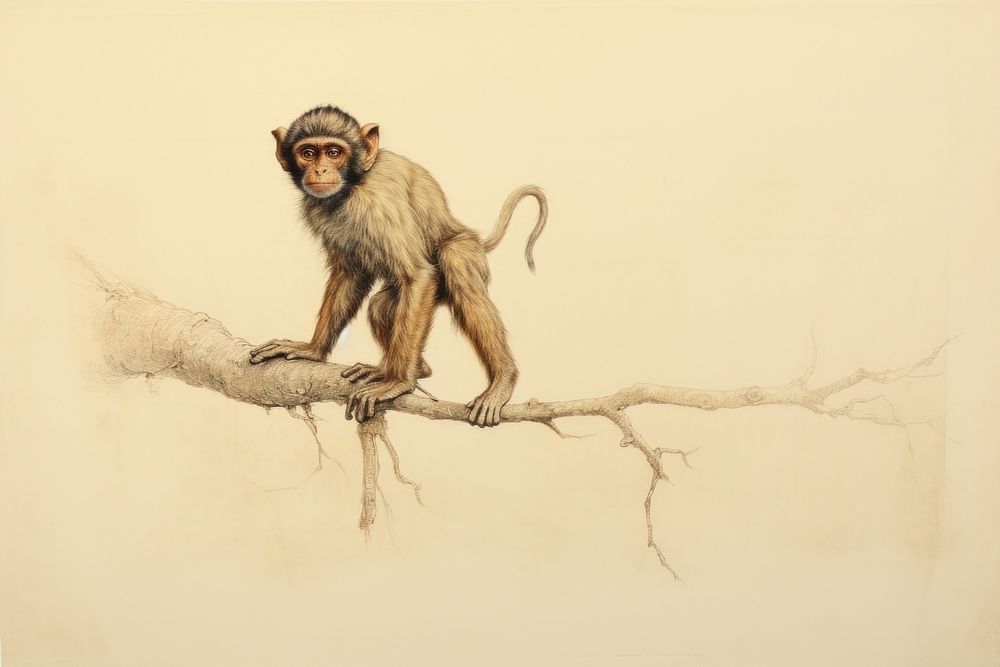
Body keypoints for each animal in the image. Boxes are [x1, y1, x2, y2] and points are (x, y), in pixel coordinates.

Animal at [248, 106, 547, 427]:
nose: (321, 170)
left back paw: (499, 380)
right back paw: (405, 369)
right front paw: (312, 350)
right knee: (380, 305)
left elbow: (418, 276)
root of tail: (475, 237)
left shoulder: (378, 203)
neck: (353, 186)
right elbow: (350, 274)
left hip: (467, 252)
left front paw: (397, 384)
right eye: (308, 153)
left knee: (455, 265)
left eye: (333, 152)